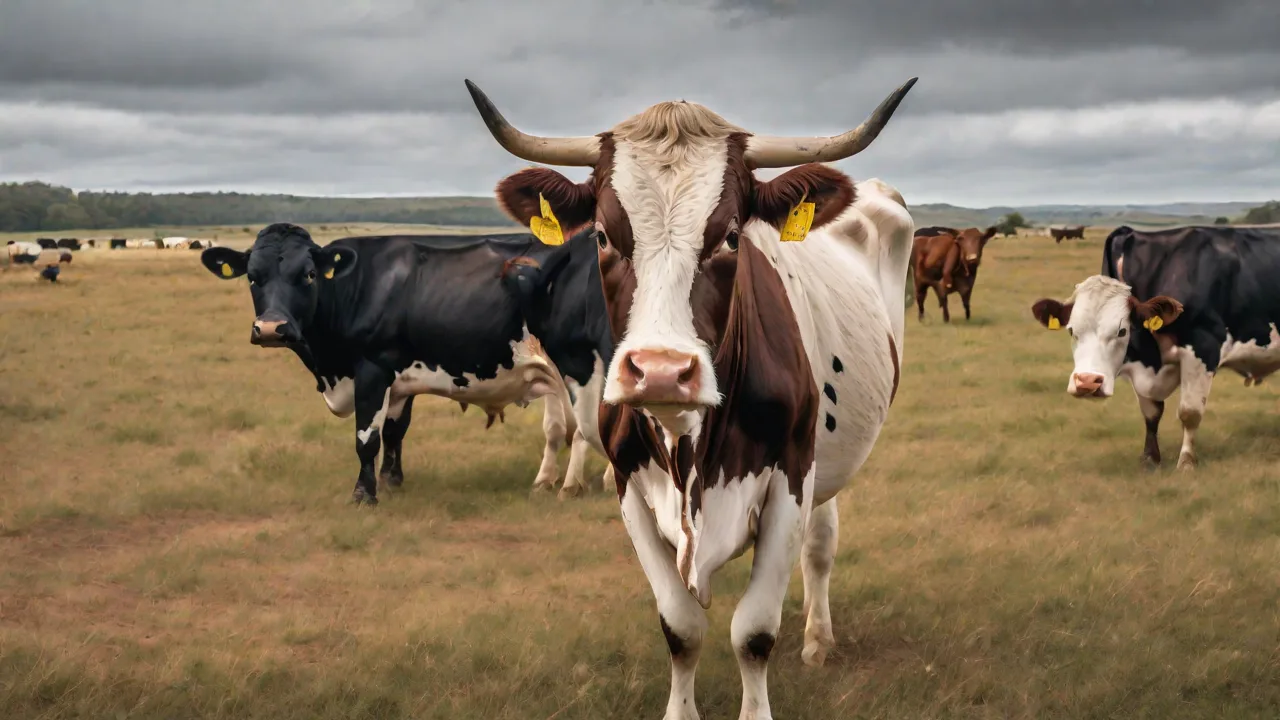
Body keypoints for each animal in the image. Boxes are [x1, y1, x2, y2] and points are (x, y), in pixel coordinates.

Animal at [200, 223, 614, 505]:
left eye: (309, 274)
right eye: (253, 277)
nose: (272, 328)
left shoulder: (371, 369)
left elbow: (367, 437)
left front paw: (364, 495)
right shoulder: (400, 378)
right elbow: (394, 431)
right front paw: (391, 480)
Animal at [467, 75, 916, 719]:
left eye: (730, 237)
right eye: (602, 236)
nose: (660, 372)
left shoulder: (789, 480)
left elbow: (753, 632)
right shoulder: (629, 485)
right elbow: (681, 628)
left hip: (823, 458)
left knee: (820, 544)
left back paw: (817, 638)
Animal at [1030, 225, 1280, 469]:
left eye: (1122, 331)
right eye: (1071, 330)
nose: (1087, 382)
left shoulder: (1203, 348)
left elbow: (1190, 412)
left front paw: (1186, 462)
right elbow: (1151, 413)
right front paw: (1150, 457)